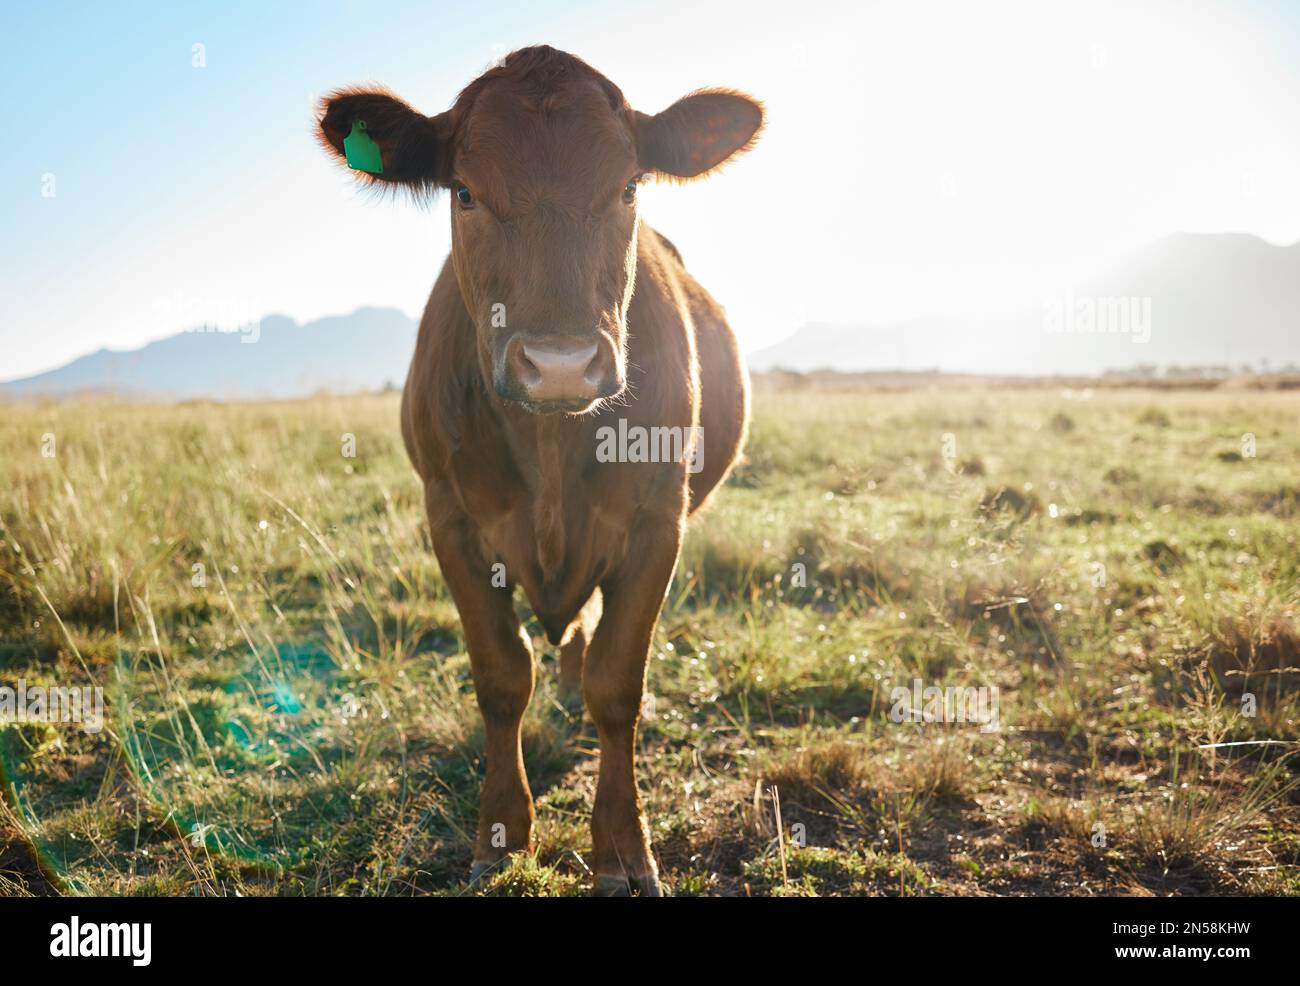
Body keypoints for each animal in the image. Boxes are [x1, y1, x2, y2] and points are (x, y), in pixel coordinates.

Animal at [317, 45, 761, 896]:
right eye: (464, 191)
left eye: (628, 187)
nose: (559, 364)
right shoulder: (451, 520)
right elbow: (500, 676)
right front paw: (500, 833)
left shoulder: (658, 523)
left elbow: (618, 684)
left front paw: (622, 848)